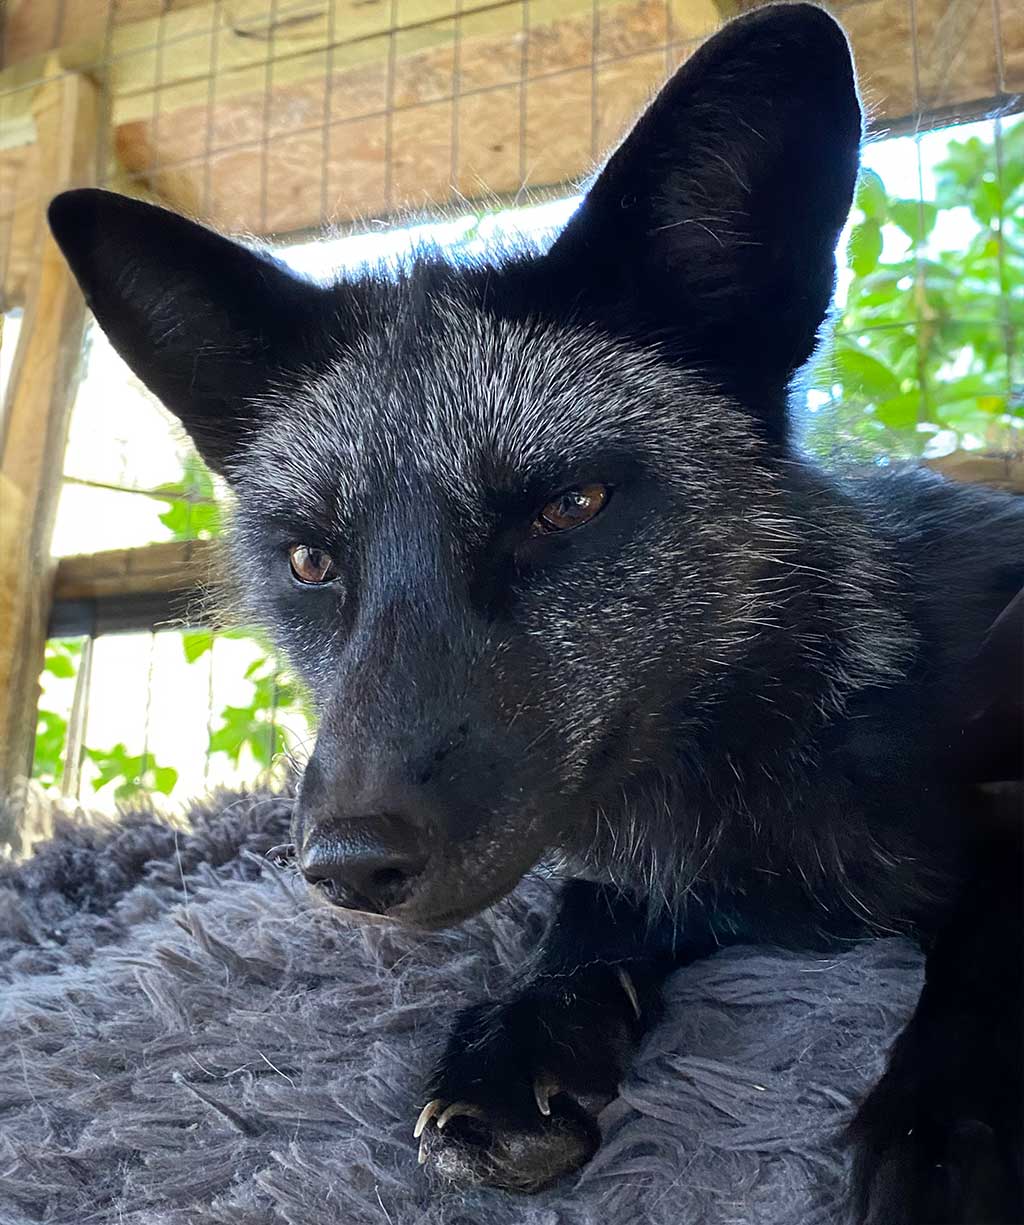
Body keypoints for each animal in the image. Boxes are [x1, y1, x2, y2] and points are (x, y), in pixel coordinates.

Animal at [48, 4, 1022, 1220]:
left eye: (572, 506)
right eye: (312, 560)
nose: (349, 867)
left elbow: (992, 944)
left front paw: (942, 1131)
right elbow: (580, 918)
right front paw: (518, 1041)